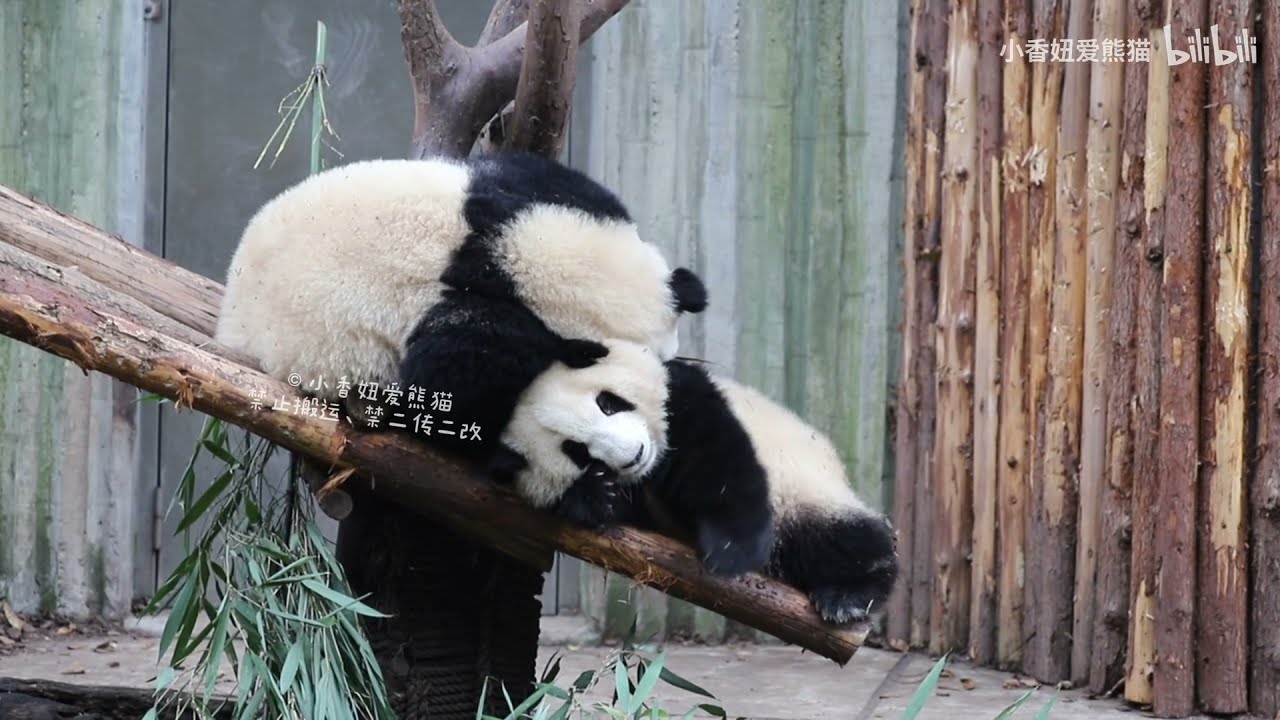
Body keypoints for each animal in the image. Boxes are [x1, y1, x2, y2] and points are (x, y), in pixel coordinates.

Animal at [493, 348, 900, 626]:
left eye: (608, 404)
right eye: (576, 450)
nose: (633, 454)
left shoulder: (681, 393)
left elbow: (716, 457)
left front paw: (731, 551)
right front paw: (595, 496)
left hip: (802, 487)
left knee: (835, 535)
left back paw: (850, 594)